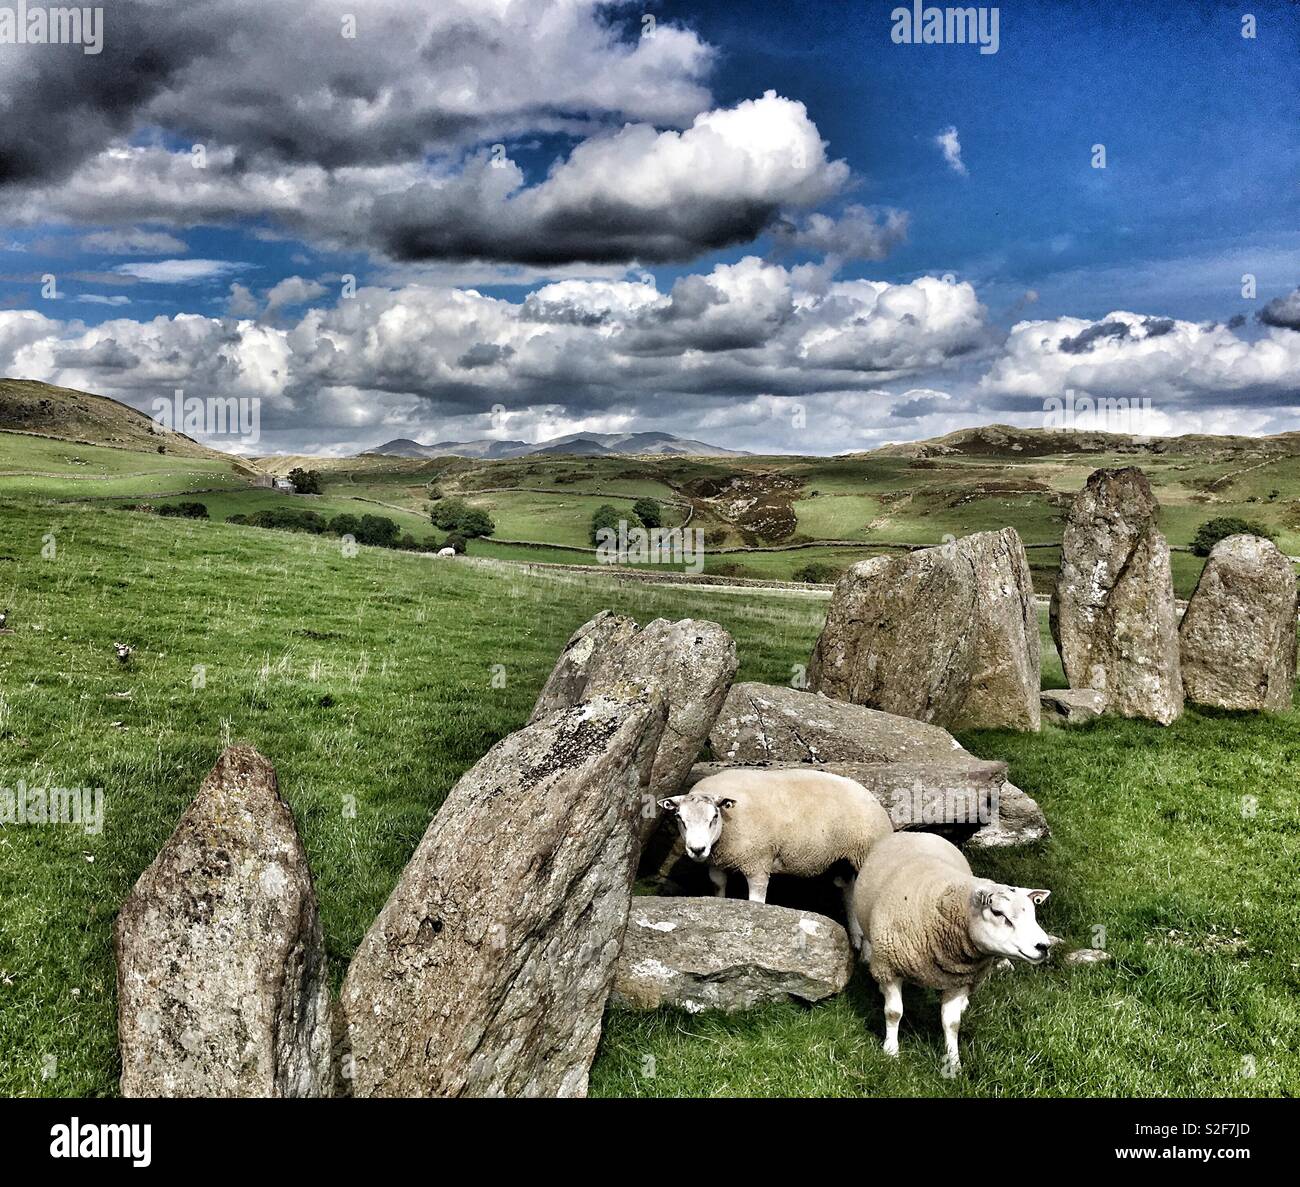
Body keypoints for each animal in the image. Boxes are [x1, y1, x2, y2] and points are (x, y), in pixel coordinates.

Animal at [659, 767, 892, 947]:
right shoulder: (717, 862)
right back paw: (856, 937)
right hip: (842, 860)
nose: (697, 849)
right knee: (849, 891)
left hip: (864, 854)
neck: (728, 824)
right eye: (679, 817)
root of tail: (869, 794)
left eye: (714, 816)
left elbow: (756, 902)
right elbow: (718, 887)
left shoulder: (757, 862)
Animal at [852, 831, 1052, 1077]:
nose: (1044, 946)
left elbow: (952, 1022)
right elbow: (894, 1012)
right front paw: (890, 1052)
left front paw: (953, 1063)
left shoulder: (960, 978)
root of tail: (915, 832)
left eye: (1033, 913)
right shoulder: (890, 967)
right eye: (997, 912)